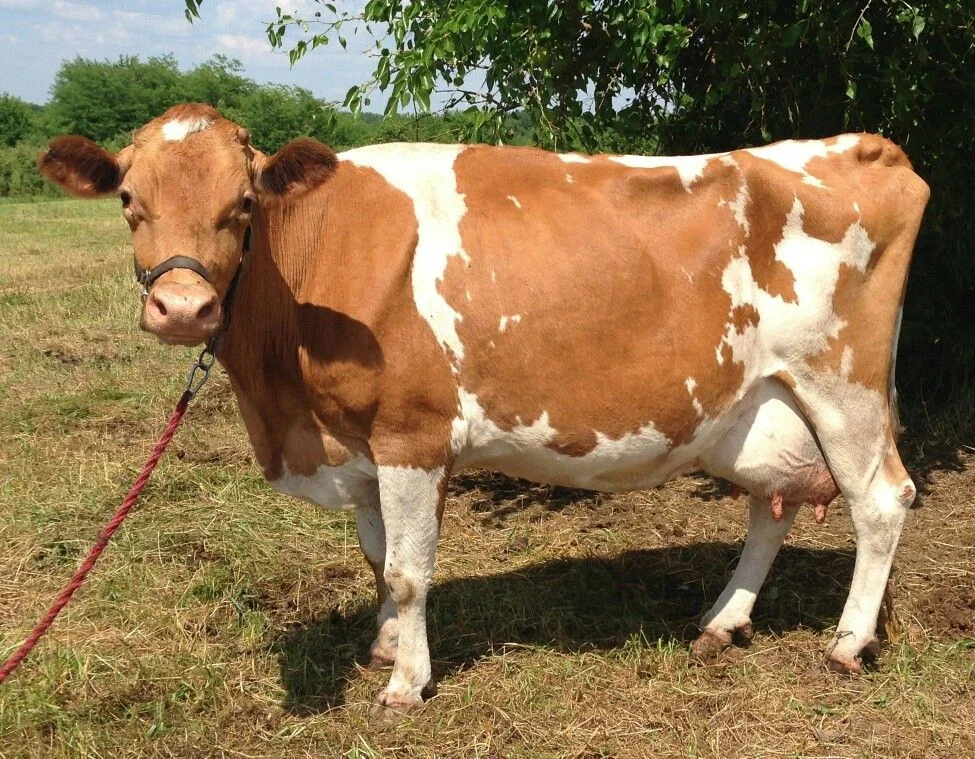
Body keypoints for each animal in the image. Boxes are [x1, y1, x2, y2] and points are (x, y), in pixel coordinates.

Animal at [39, 103, 929, 716]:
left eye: (245, 203)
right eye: (127, 198)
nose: (182, 308)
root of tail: (858, 143)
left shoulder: (411, 433)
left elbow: (407, 569)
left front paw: (406, 682)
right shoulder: (360, 441)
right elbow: (377, 558)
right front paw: (384, 646)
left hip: (841, 384)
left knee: (880, 499)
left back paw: (847, 641)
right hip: (756, 402)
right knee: (769, 508)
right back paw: (722, 619)